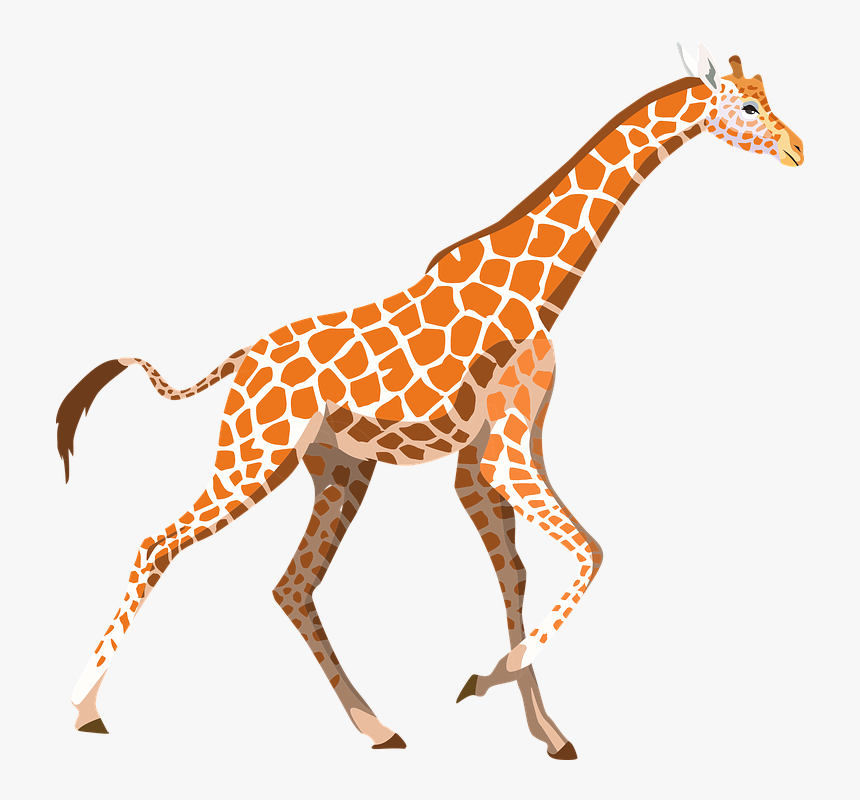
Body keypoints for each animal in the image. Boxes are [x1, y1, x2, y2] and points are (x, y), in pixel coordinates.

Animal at [57, 44, 803, 758]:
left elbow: (516, 575)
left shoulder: (486, 460)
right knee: (156, 544)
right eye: (746, 105)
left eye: (766, 95)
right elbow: (589, 553)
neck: (539, 290)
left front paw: (546, 730)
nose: (798, 148)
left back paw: (377, 727)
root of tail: (242, 359)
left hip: (338, 469)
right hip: (253, 454)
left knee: (292, 585)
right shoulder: (503, 457)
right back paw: (85, 709)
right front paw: (484, 682)